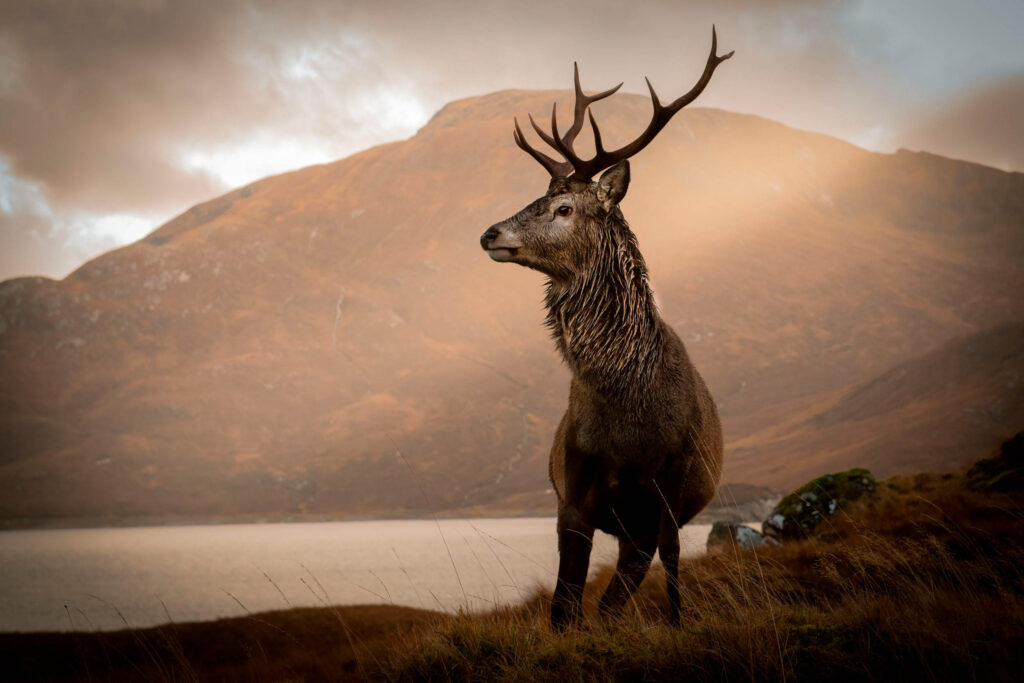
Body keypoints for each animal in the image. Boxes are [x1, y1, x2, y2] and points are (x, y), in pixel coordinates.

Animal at [479, 28, 732, 629]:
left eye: (565, 208)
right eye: (538, 197)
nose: (489, 233)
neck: (628, 420)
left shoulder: (668, 489)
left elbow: (671, 568)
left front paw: (678, 622)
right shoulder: (572, 495)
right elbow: (563, 605)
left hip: (643, 525)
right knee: (610, 596)